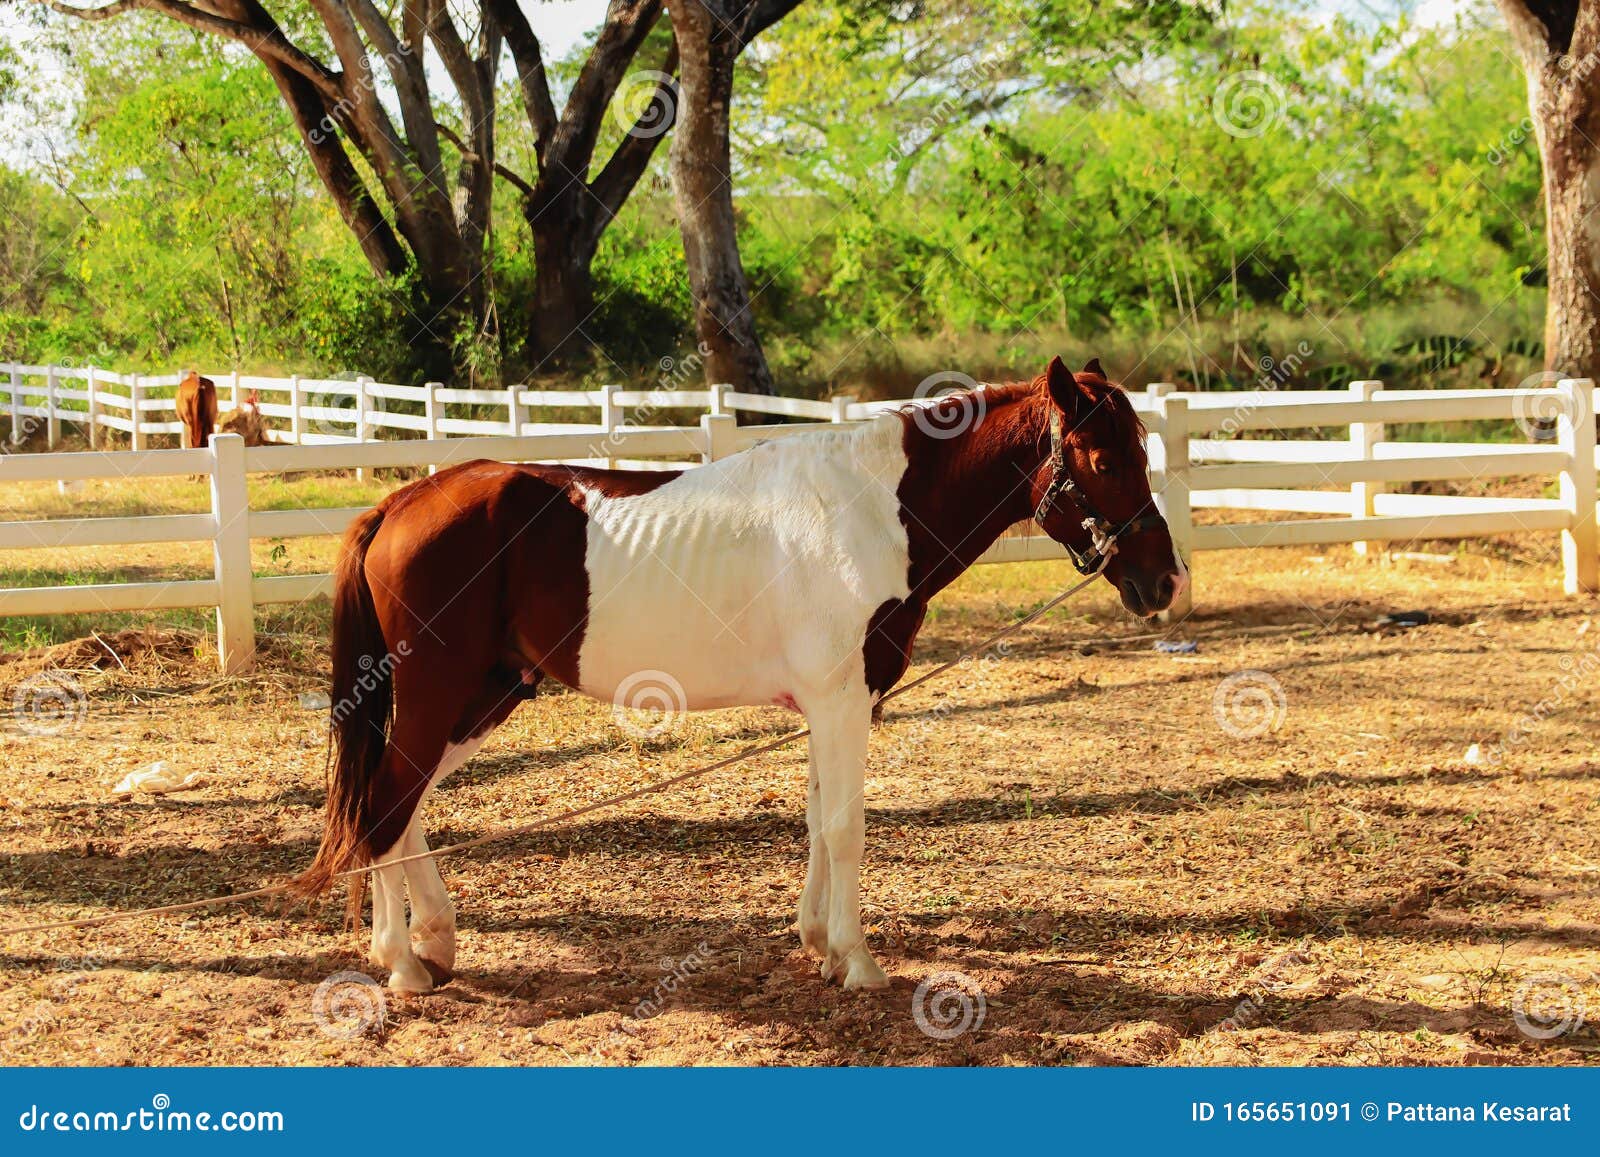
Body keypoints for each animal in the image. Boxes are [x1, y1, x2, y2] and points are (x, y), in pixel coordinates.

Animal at [293, 356, 1187, 994]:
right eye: (1104, 457)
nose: (1165, 579)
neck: (872, 509)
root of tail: (398, 505)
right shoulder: (839, 700)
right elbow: (845, 827)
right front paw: (859, 963)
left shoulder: (831, 703)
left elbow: (817, 821)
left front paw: (821, 944)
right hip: (440, 695)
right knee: (384, 804)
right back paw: (403, 964)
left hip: (483, 696)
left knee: (404, 806)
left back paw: (429, 940)